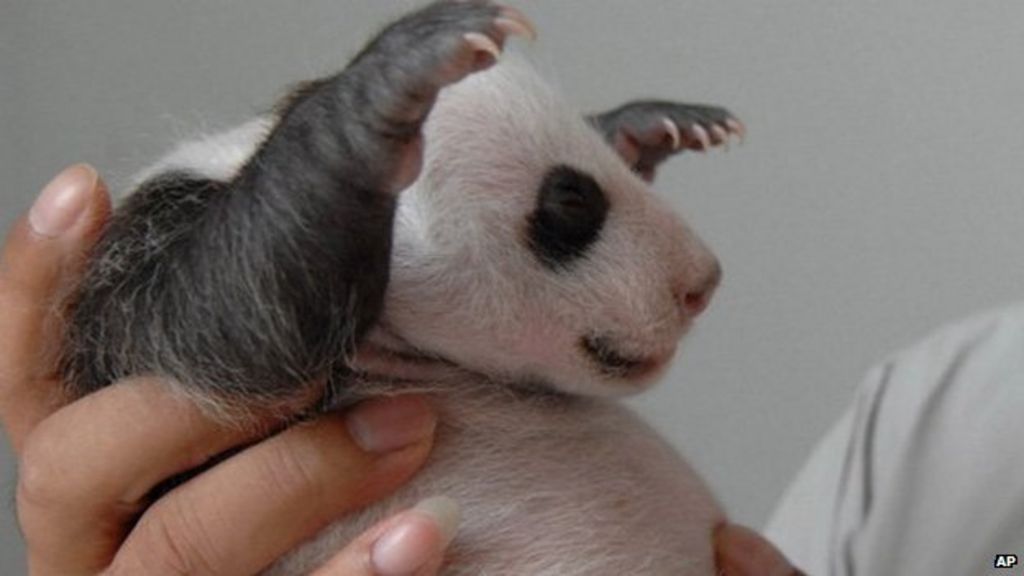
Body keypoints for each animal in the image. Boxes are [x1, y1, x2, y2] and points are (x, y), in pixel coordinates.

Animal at [59, 2, 745, 574]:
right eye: (573, 200)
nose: (703, 283)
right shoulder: (132, 287)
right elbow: (220, 314)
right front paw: (386, 77)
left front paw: (652, 125)